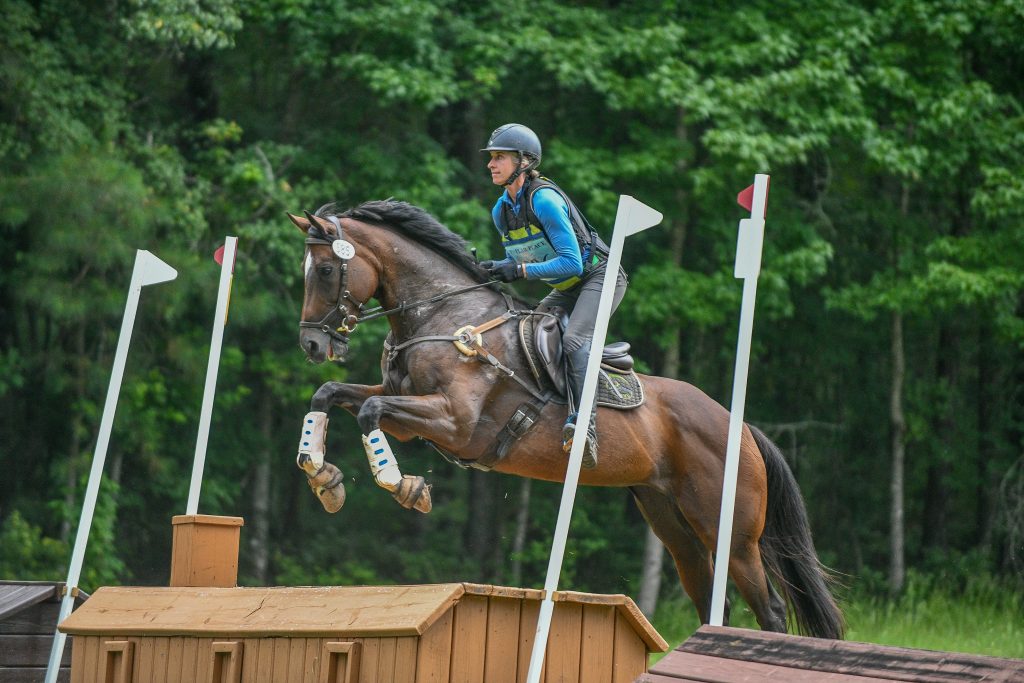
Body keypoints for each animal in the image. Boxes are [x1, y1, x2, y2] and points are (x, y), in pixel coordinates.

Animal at [287, 199, 845, 639]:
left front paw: (403, 485)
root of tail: (740, 426)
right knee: (712, 599)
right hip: (672, 522)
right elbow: (333, 394)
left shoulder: (456, 423)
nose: (312, 345)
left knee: (769, 609)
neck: (443, 318)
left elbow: (369, 411)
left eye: (325, 271)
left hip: (733, 533)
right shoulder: (408, 410)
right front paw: (323, 477)